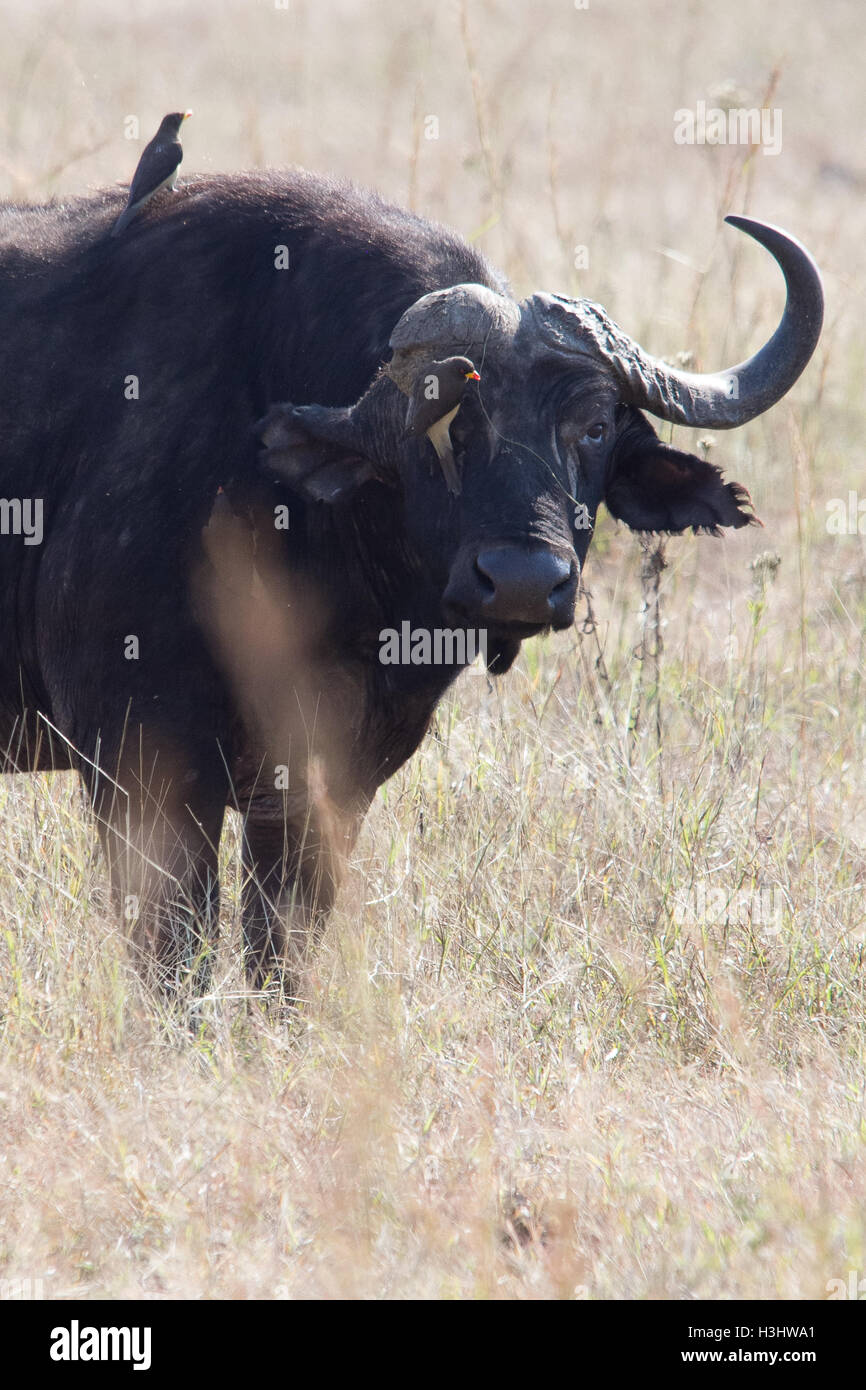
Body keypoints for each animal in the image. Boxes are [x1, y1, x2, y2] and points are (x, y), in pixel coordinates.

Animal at [0, 170, 823, 992]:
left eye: (593, 428)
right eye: (442, 428)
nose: (523, 582)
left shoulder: (331, 782)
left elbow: (282, 945)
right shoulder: (141, 765)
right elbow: (175, 950)